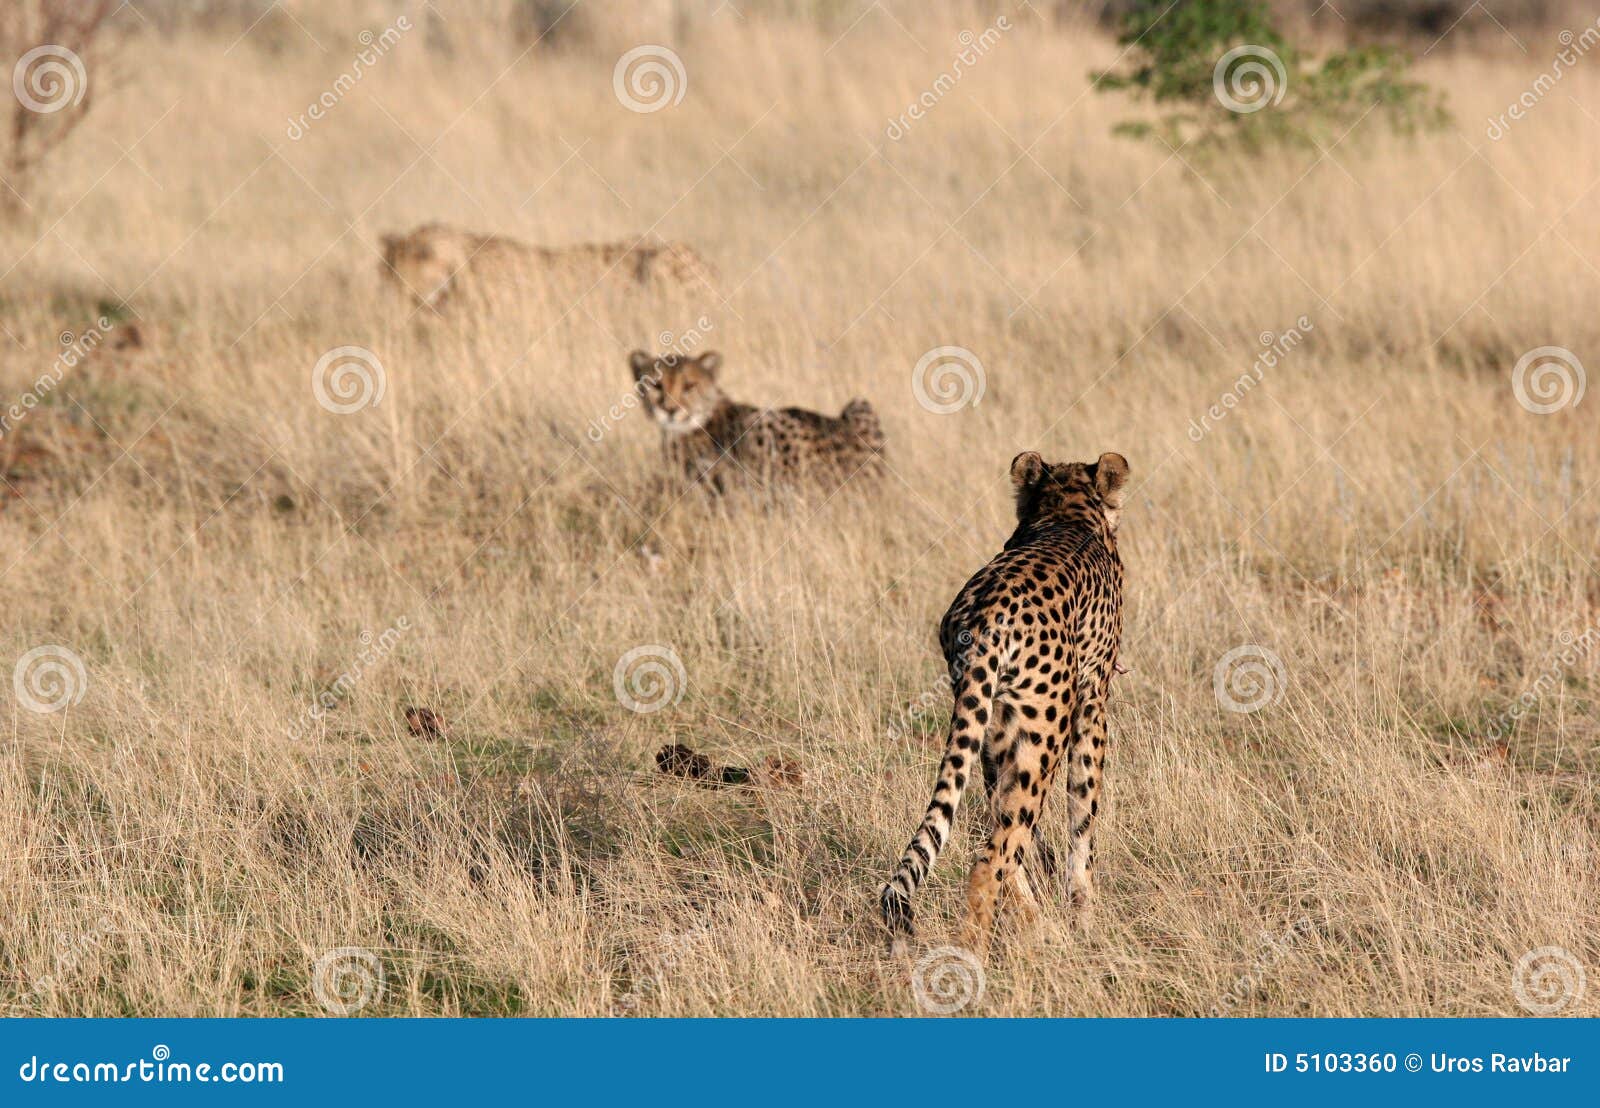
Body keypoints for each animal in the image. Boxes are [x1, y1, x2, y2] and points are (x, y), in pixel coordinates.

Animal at [879, 449, 1130, 956]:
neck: (1065, 510)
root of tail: (986, 615)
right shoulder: (1092, 704)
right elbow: (1083, 816)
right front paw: (1085, 916)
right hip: (1042, 733)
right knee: (990, 857)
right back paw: (974, 954)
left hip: (990, 720)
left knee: (1001, 836)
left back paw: (1033, 928)